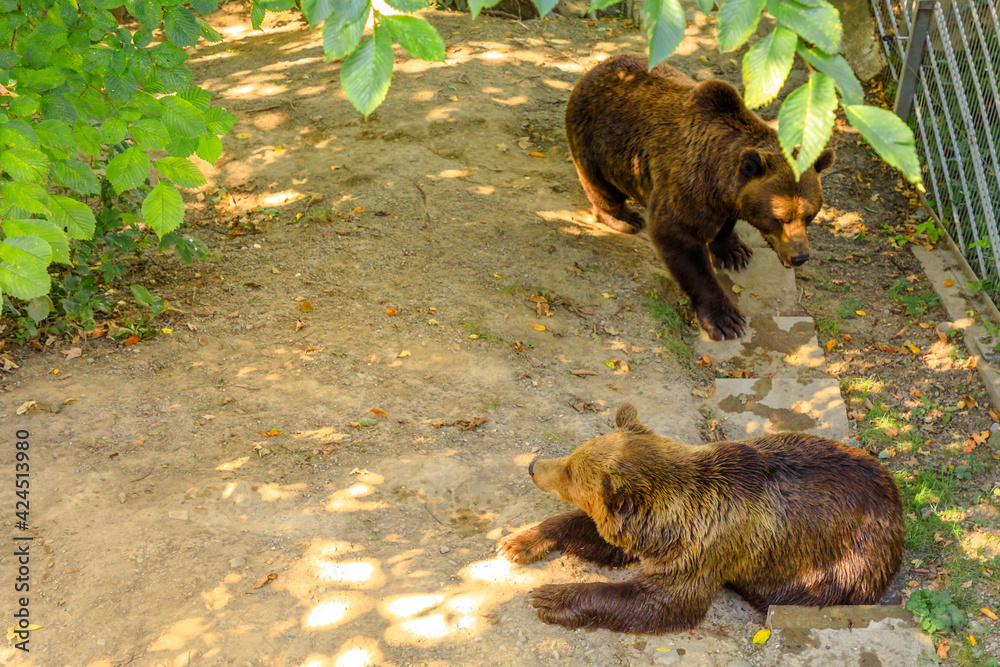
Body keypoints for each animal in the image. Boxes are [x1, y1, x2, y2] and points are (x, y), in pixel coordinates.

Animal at [497, 403, 904, 634]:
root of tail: (897, 502)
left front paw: (550, 597)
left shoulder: (705, 549)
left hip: (843, 558)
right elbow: (597, 536)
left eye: (570, 473)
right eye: (573, 456)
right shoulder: (654, 537)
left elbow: (659, 602)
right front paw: (516, 542)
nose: (533, 466)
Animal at [564, 55, 836, 341]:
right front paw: (726, 320)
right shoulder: (687, 187)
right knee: (601, 186)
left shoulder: (727, 198)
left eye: (810, 214)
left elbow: (725, 225)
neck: (718, 178)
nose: (800, 257)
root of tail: (596, 67)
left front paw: (734, 251)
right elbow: (680, 241)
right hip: (596, 141)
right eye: (780, 218)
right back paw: (624, 218)